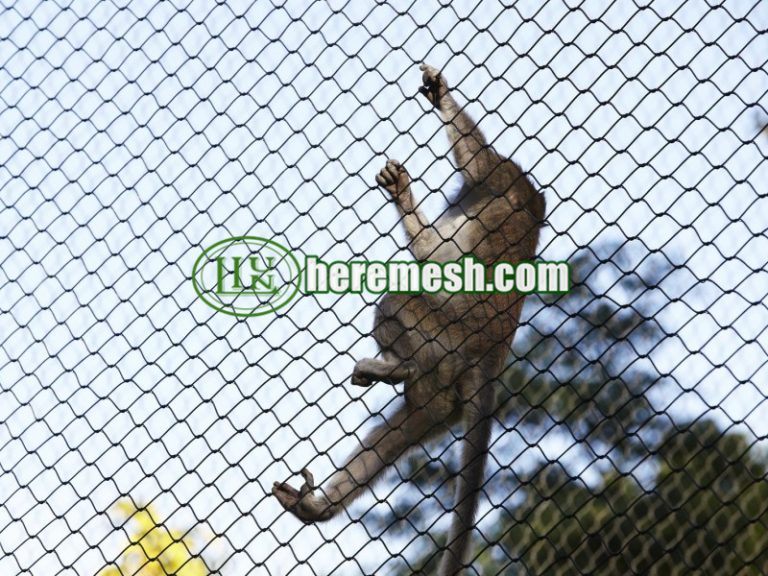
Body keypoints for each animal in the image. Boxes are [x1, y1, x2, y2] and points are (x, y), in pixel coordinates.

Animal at [273, 63, 545, 575]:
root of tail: (489, 353)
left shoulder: (497, 184)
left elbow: (432, 249)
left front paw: (440, 104)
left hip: (446, 341)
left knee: (395, 304)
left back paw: (402, 366)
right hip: (448, 389)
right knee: (417, 419)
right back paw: (320, 506)